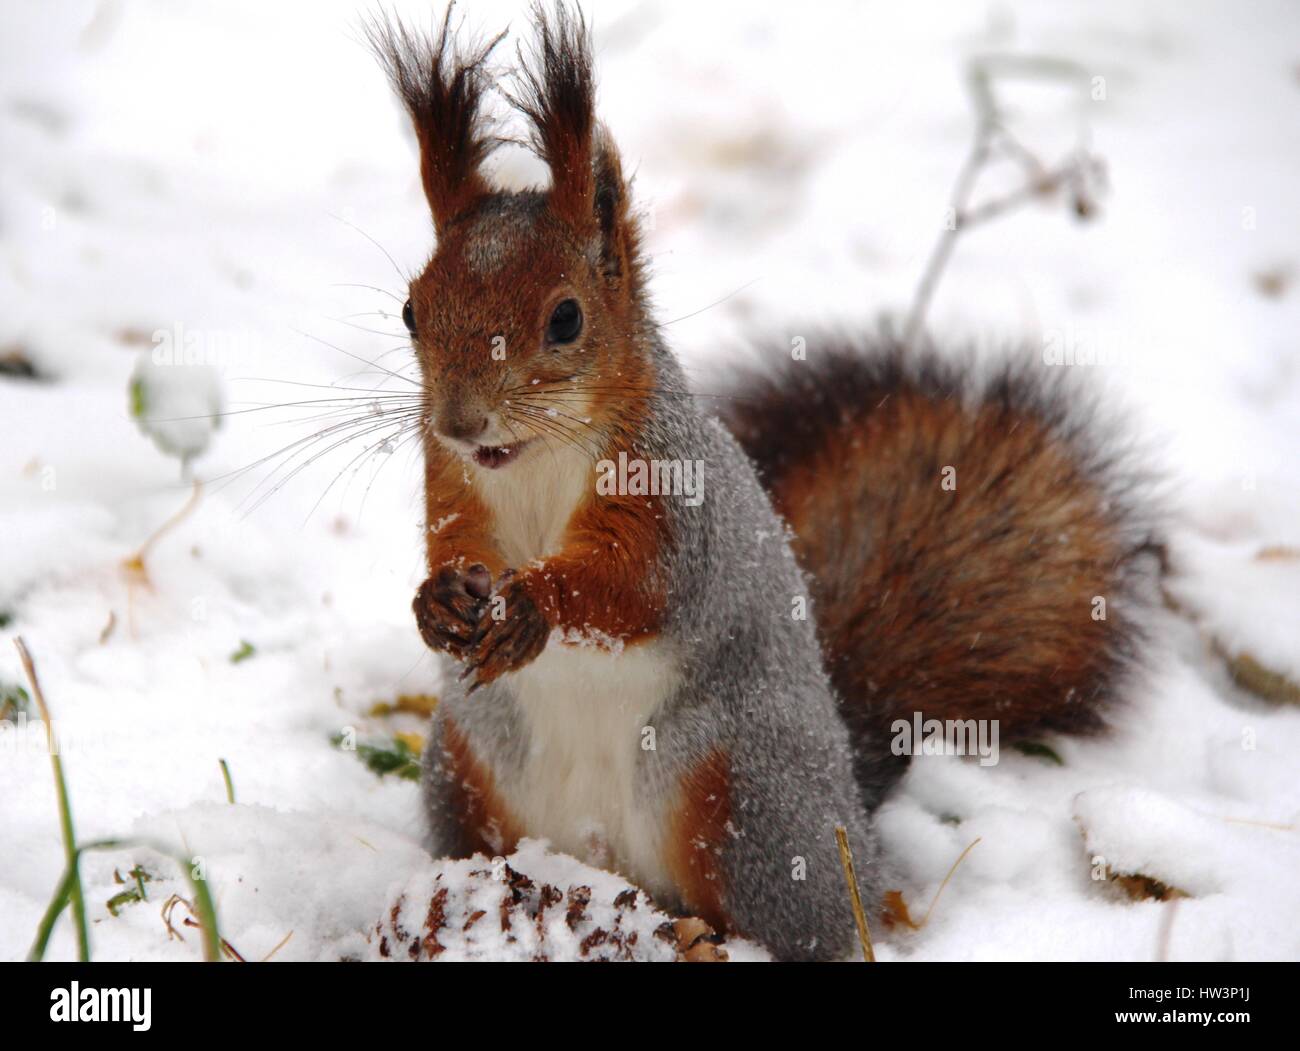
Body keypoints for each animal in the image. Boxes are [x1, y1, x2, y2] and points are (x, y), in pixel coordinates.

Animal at [369, 5, 1160, 961]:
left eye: (565, 319)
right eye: (412, 309)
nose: (460, 419)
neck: (530, 464)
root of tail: (852, 800)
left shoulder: (675, 504)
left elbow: (639, 586)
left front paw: (536, 604)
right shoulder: (451, 483)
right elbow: (453, 544)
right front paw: (437, 601)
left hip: (740, 794)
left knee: (811, 915)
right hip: (466, 766)